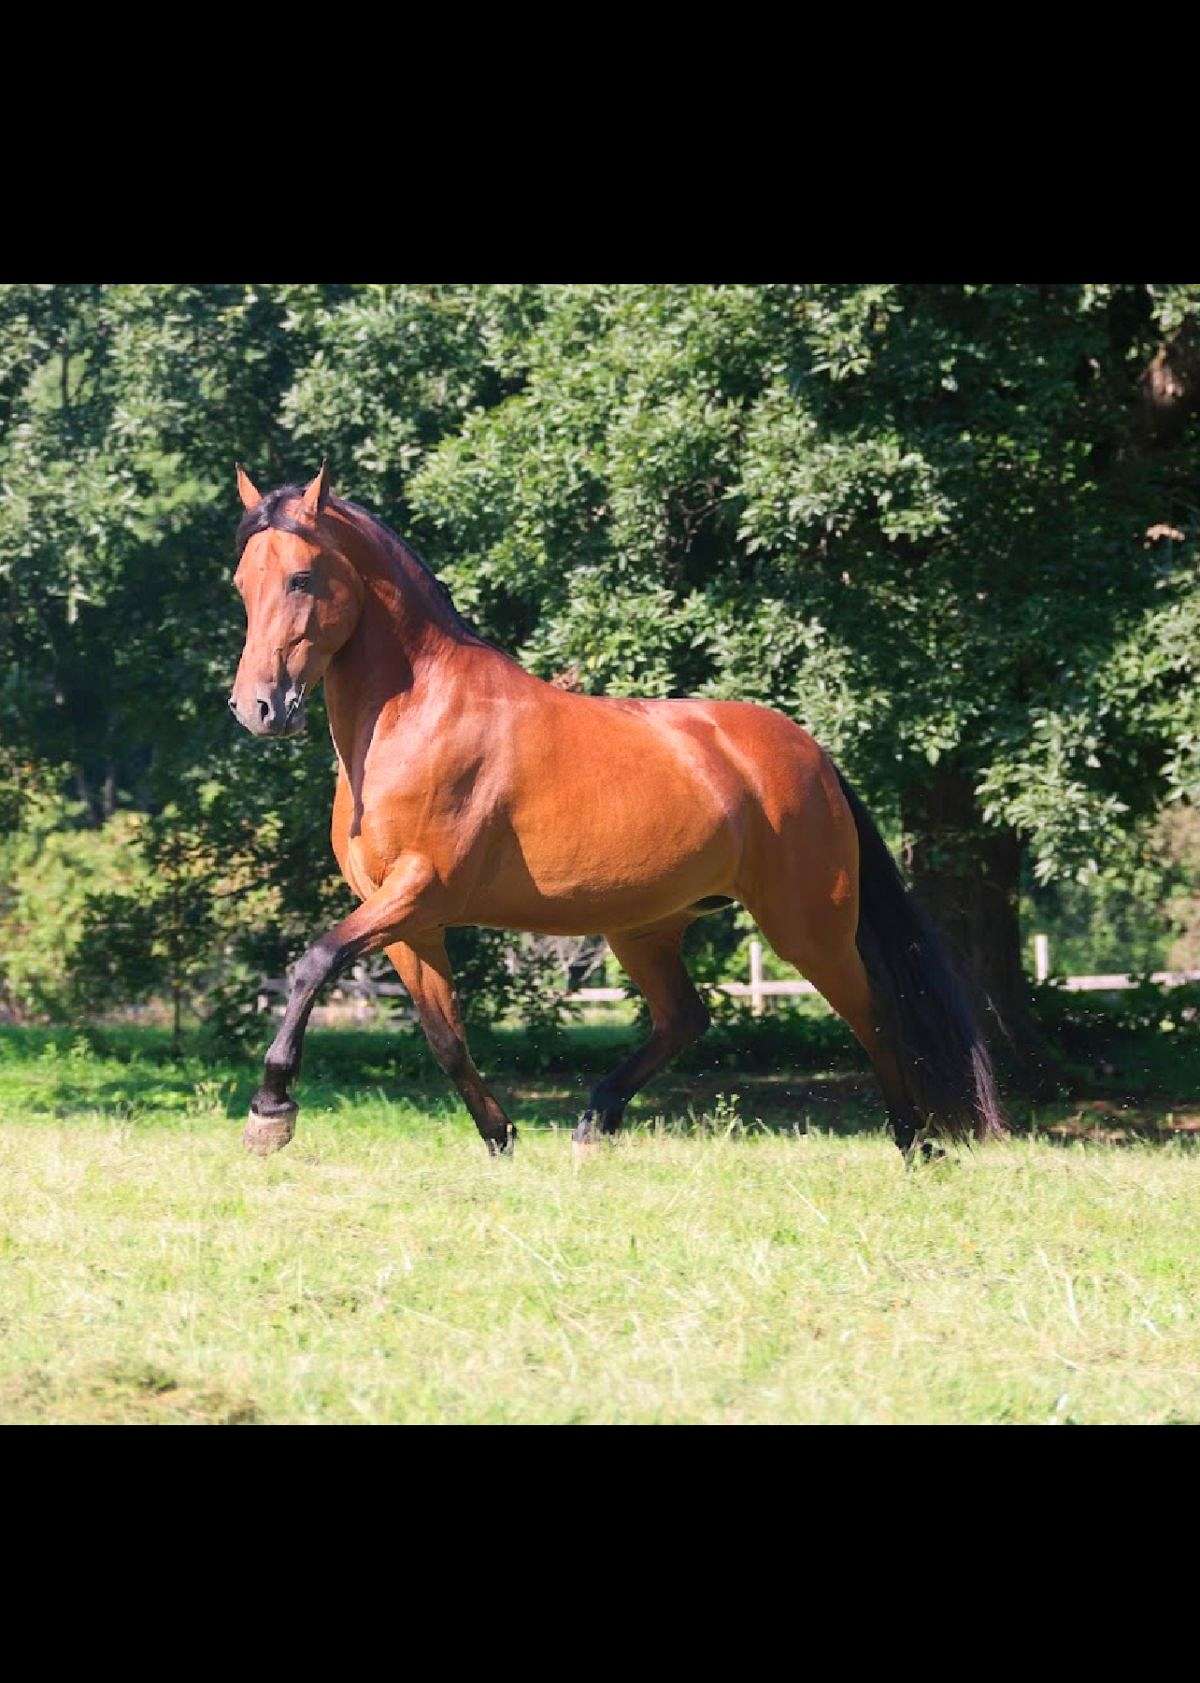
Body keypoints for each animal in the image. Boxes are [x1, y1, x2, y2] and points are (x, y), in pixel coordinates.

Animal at [227, 463, 1005, 1161]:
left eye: (301, 578)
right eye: (242, 583)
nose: (257, 708)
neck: (415, 716)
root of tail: (812, 752)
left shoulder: (421, 891)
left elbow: (312, 963)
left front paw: (271, 1112)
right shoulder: (405, 919)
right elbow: (445, 1037)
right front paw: (500, 1137)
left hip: (806, 927)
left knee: (873, 1016)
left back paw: (917, 1145)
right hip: (645, 927)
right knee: (687, 1018)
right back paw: (595, 1120)